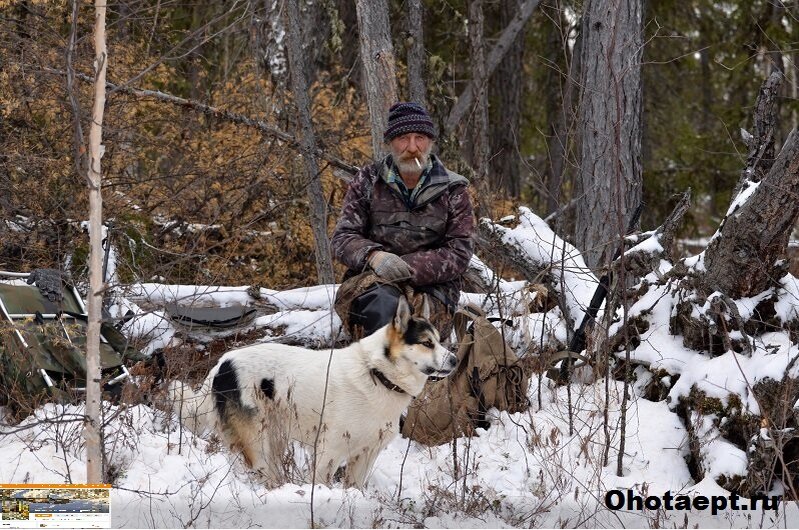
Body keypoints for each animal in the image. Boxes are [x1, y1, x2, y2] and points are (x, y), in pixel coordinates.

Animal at [169, 294, 456, 484]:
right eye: (426, 343)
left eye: (440, 341)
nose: (454, 360)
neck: (378, 373)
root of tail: (221, 364)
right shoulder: (328, 452)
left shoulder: (366, 455)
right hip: (257, 443)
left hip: (275, 438)